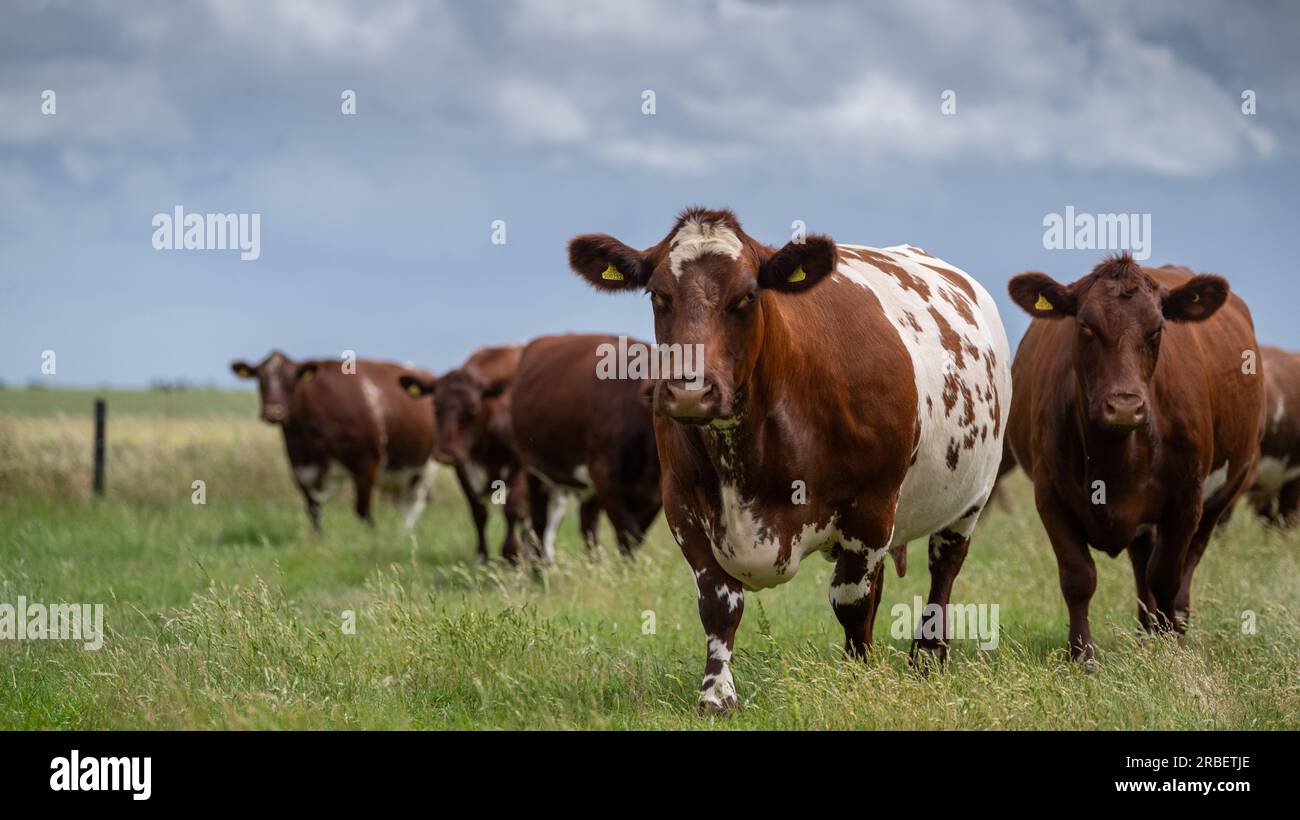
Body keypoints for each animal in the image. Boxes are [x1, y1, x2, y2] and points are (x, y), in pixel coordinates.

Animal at [230, 351, 438, 531]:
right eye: (260, 379)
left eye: (291, 380)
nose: (273, 412)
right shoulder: (300, 470)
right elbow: (314, 510)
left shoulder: (366, 464)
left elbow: (363, 511)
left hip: (424, 469)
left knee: (414, 505)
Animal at [398, 345, 531, 564]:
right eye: (435, 405)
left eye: (473, 408)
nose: (445, 452)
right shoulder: (462, 467)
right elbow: (478, 512)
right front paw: (482, 558)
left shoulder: (520, 466)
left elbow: (512, 509)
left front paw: (512, 554)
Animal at [509, 333, 662, 560]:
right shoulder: (605, 478)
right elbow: (627, 533)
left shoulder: (654, 497)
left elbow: (635, 536)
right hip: (535, 472)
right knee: (539, 526)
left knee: (587, 525)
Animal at [567, 208, 1011, 713]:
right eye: (658, 295)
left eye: (747, 296)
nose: (691, 391)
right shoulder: (682, 504)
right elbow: (719, 604)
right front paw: (716, 693)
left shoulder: (872, 506)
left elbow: (851, 601)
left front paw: (858, 677)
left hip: (970, 497)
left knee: (944, 568)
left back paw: (929, 655)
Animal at [1005, 257, 1264, 664]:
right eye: (1085, 325)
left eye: (1157, 329)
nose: (1124, 405)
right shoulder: (1050, 494)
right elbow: (1079, 577)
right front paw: (1083, 656)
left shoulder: (1187, 498)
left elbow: (1167, 576)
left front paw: (1169, 651)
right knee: (1142, 564)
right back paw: (1146, 633)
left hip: (1223, 495)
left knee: (1185, 566)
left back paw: (1171, 629)